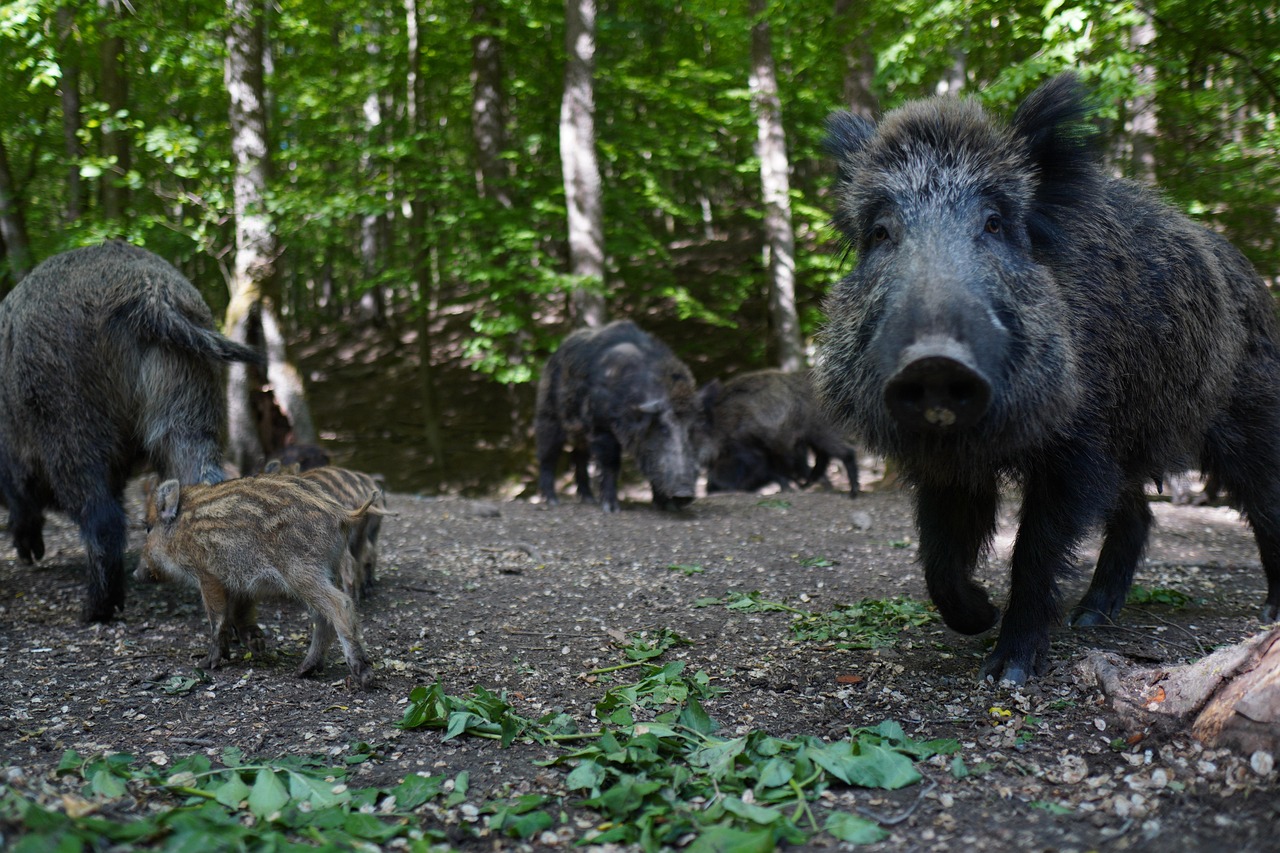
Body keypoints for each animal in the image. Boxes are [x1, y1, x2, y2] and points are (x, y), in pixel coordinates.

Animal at [0, 240, 262, 623]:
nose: (27, 557)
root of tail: (152, 294)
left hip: (73, 425)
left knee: (103, 518)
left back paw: (94, 612)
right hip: (191, 404)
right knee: (210, 485)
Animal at [137, 475, 381, 688]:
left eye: (148, 528)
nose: (136, 574)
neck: (180, 530)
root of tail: (342, 513)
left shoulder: (208, 575)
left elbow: (217, 619)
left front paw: (208, 663)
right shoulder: (240, 583)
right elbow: (238, 613)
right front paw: (256, 647)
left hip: (301, 571)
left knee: (340, 605)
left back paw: (362, 675)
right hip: (326, 569)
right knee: (322, 617)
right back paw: (304, 670)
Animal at [535, 320, 713, 513]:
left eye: (692, 430)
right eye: (663, 428)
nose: (684, 494)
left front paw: (666, 507)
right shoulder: (601, 427)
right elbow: (610, 463)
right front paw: (611, 509)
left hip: (581, 433)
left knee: (580, 457)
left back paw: (589, 500)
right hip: (548, 415)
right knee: (547, 454)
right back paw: (552, 501)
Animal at [702, 369, 859, 496]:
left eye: (720, 458)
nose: (709, 489)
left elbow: (775, 471)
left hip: (822, 431)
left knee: (845, 452)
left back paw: (852, 493)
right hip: (814, 436)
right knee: (823, 458)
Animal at [815, 73, 1280, 684]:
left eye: (994, 223)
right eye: (880, 232)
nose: (934, 361)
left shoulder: (1080, 442)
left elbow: (1033, 548)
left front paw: (1007, 671)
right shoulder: (947, 463)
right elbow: (939, 552)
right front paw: (979, 614)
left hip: (1245, 417)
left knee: (1263, 501)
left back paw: (1269, 612)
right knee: (1138, 515)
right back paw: (1090, 618)